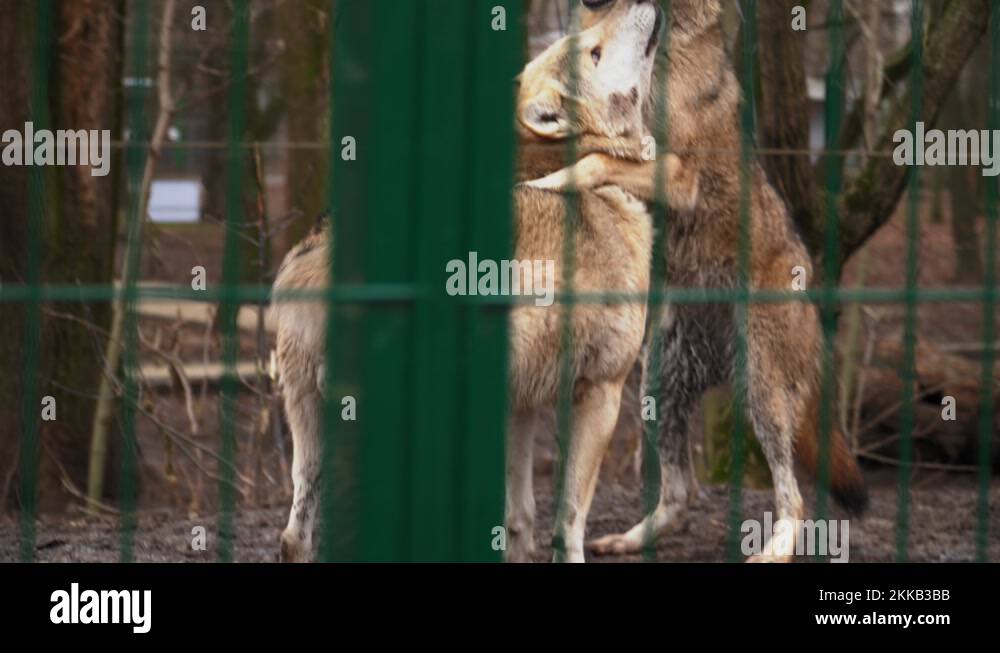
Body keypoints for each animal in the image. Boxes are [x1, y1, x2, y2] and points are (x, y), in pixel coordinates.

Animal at [530, 0, 869, 561]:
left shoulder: (674, 171)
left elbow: (596, 160)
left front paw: (552, 180)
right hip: (658, 386)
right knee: (682, 492)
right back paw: (627, 539)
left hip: (763, 396)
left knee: (794, 499)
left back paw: (772, 550)